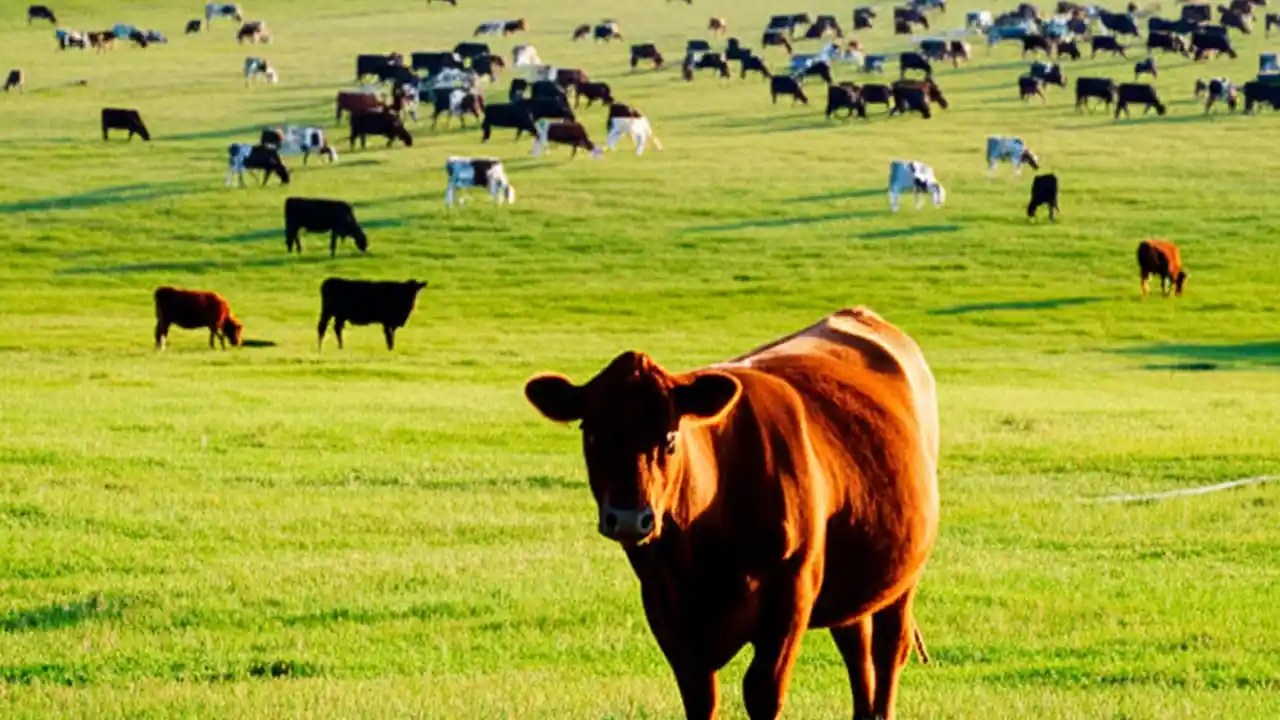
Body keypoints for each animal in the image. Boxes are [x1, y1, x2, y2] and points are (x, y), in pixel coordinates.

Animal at [524, 308, 939, 720]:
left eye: (670, 438)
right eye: (591, 434)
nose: (628, 519)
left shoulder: (792, 593)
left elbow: (762, 692)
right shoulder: (665, 607)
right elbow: (701, 698)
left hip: (903, 577)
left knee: (887, 650)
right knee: (856, 647)